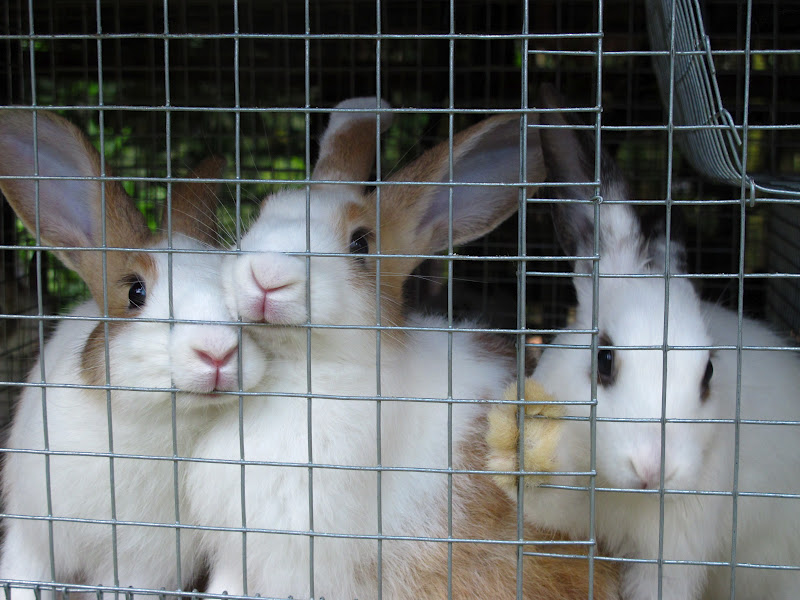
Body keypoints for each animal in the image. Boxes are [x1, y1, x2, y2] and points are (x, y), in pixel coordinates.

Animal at [0, 110, 267, 600]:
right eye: (135, 292)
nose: (216, 351)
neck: (156, 423)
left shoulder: (142, 564)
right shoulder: (33, 535)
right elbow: (22, 580)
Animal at [486, 85, 800, 600]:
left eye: (708, 373)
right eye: (604, 359)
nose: (654, 470)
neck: (619, 492)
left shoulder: (674, 549)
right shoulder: (564, 513)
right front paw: (520, 442)